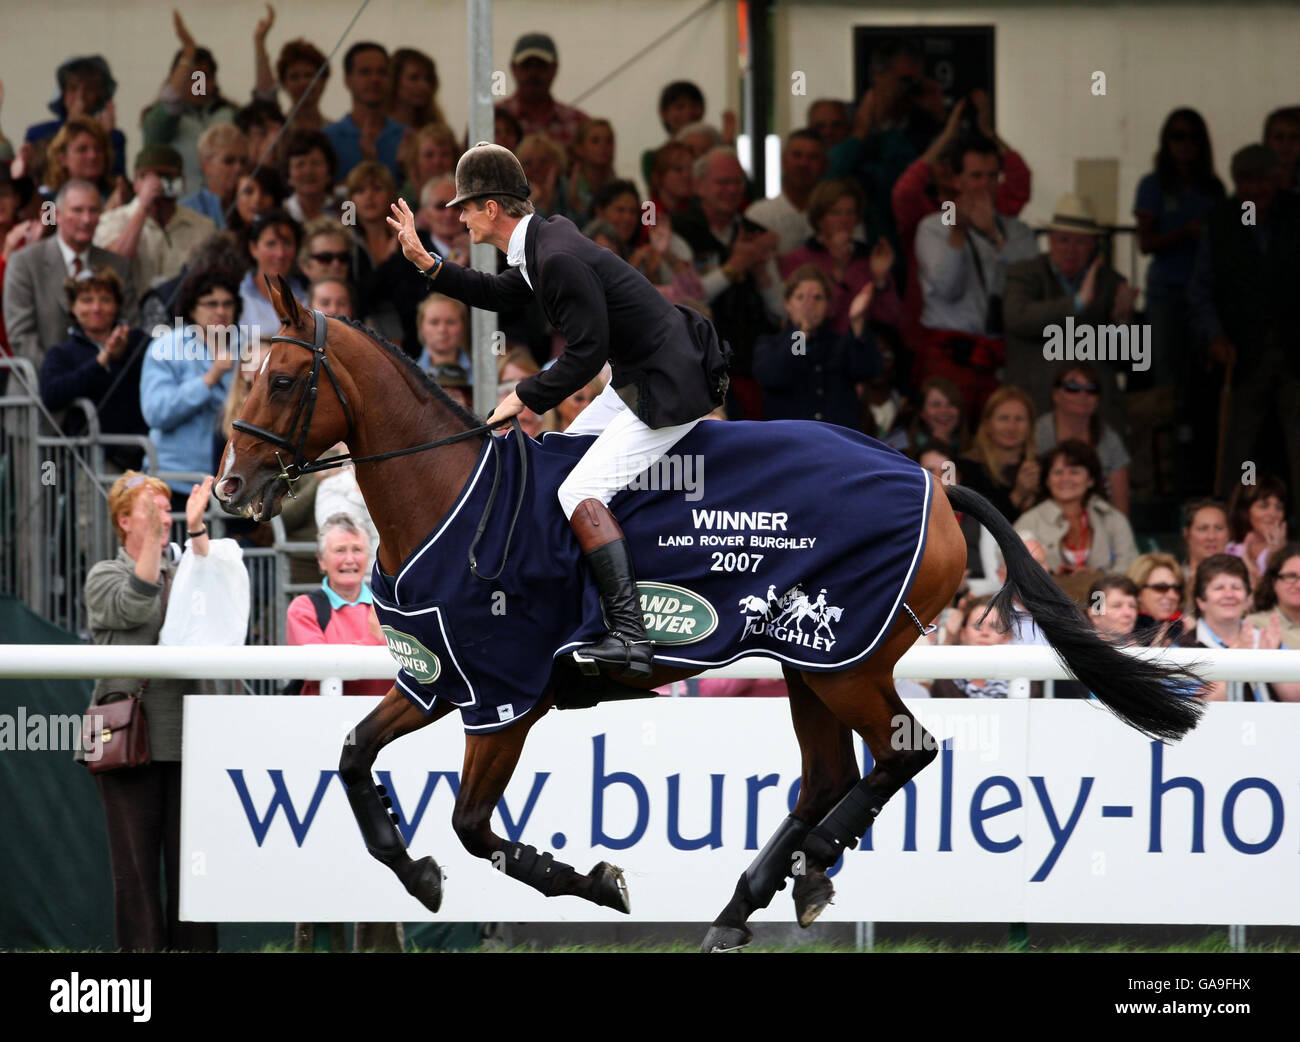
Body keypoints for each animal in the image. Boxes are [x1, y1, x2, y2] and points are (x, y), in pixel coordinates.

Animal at [214, 279, 1205, 953]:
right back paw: (747, 905)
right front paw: (414, 873)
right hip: (813, 665)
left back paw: (805, 870)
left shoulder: (505, 699)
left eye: (286, 380)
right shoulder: (437, 679)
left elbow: (469, 823)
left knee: (901, 753)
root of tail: (936, 482)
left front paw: (593, 881)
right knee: (826, 775)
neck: (448, 496)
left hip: (848, 661)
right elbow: (353, 757)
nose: (228, 493)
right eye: (241, 375)